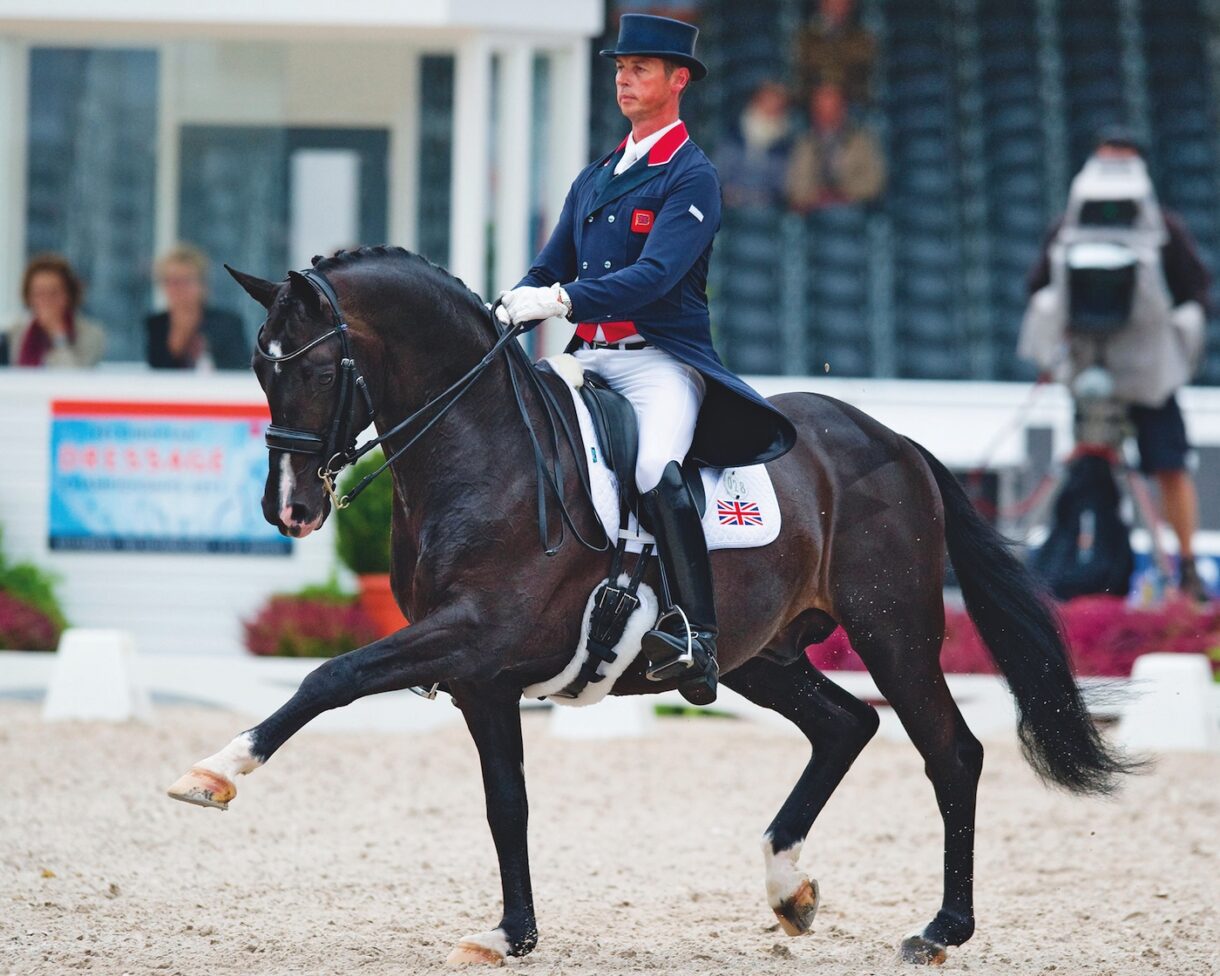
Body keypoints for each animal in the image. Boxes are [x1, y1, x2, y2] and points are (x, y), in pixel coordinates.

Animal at [167, 246, 1134, 967]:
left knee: (951, 753)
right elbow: (506, 801)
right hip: (759, 654)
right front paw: (512, 934)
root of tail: (895, 440)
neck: (483, 448)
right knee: (846, 726)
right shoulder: (482, 674)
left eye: (318, 368)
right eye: (257, 366)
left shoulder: (467, 635)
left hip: (892, 633)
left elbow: (328, 678)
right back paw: (789, 889)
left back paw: (939, 931)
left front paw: (213, 771)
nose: (289, 509)